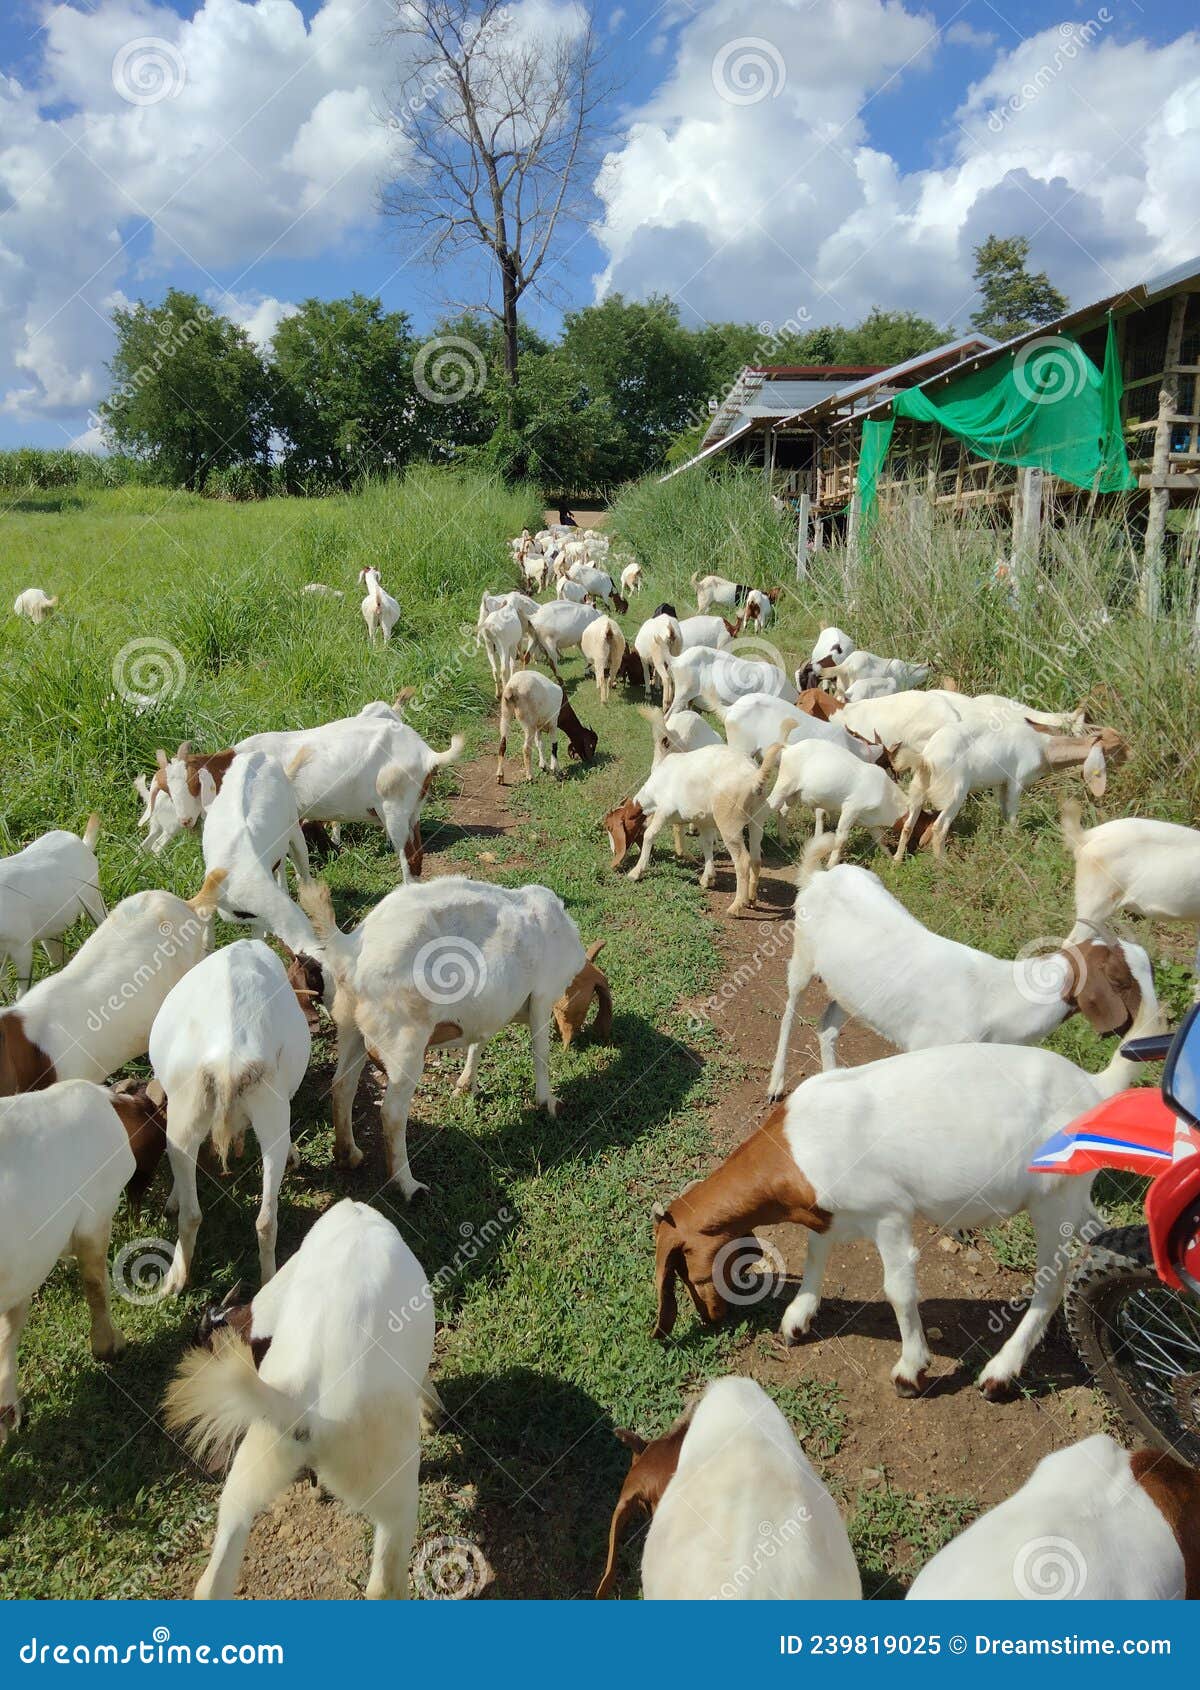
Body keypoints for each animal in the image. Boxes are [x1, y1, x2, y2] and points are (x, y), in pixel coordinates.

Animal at [0, 816, 106, 997]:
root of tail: (83, 844)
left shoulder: (21, 944)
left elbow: (23, 984)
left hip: (93, 898)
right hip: (50, 929)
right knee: (58, 956)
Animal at [150, 940, 312, 1294]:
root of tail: (228, 1061)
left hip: (188, 1105)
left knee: (191, 1213)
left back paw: (173, 1280)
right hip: (270, 1107)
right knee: (266, 1219)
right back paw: (267, 1283)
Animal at [165, 1199, 442, 1599]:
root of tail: (302, 1405)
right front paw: (431, 1414)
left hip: (253, 1467)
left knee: (214, 1576)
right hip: (393, 1486)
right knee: (384, 1582)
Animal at [296, 878, 600, 1196]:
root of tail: (350, 950)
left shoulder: (488, 1010)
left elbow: (479, 1042)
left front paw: (466, 1084)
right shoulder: (541, 997)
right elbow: (540, 1052)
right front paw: (548, 1102)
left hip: (350, 1028)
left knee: (342, 1085)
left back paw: (348, 1155)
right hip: (405, 1043)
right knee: (392, 1113)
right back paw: (408, 1185)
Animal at [768, 838, 1157, 1096]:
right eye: (1120, 980)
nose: (1151, 1027)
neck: (998, 998)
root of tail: (819, 877)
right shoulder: (929, 1048)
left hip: (847, 988)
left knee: (827, 1026)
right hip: (803, 958)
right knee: (790, 1007)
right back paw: (775, 1083)